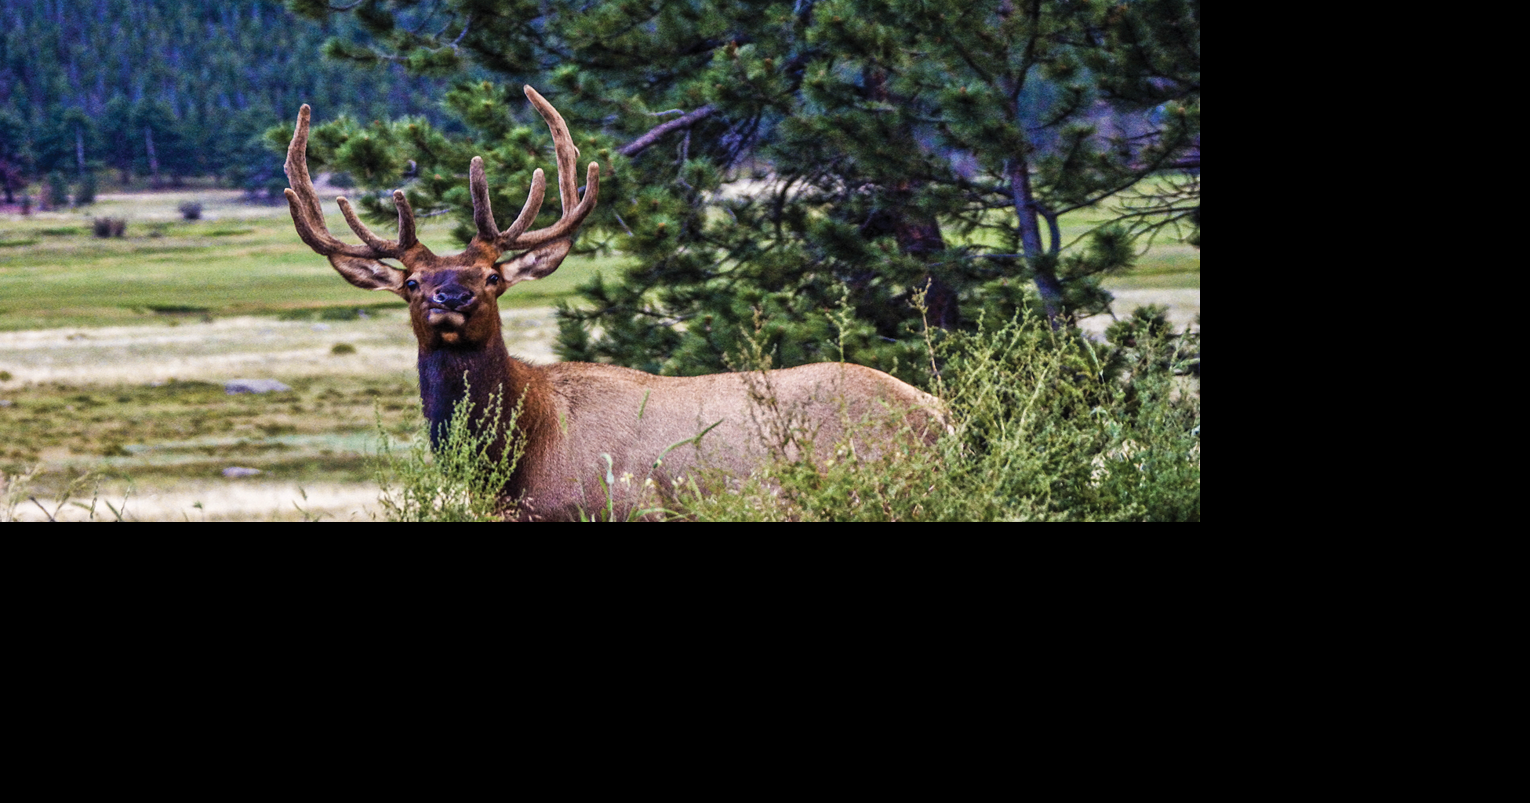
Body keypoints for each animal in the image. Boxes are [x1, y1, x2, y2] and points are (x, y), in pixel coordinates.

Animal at [284, 86, 944, 520]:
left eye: (494, 276)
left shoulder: (633, 506)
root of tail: (943, 415)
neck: (526, 455)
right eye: (411, 283)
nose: (452, 295)